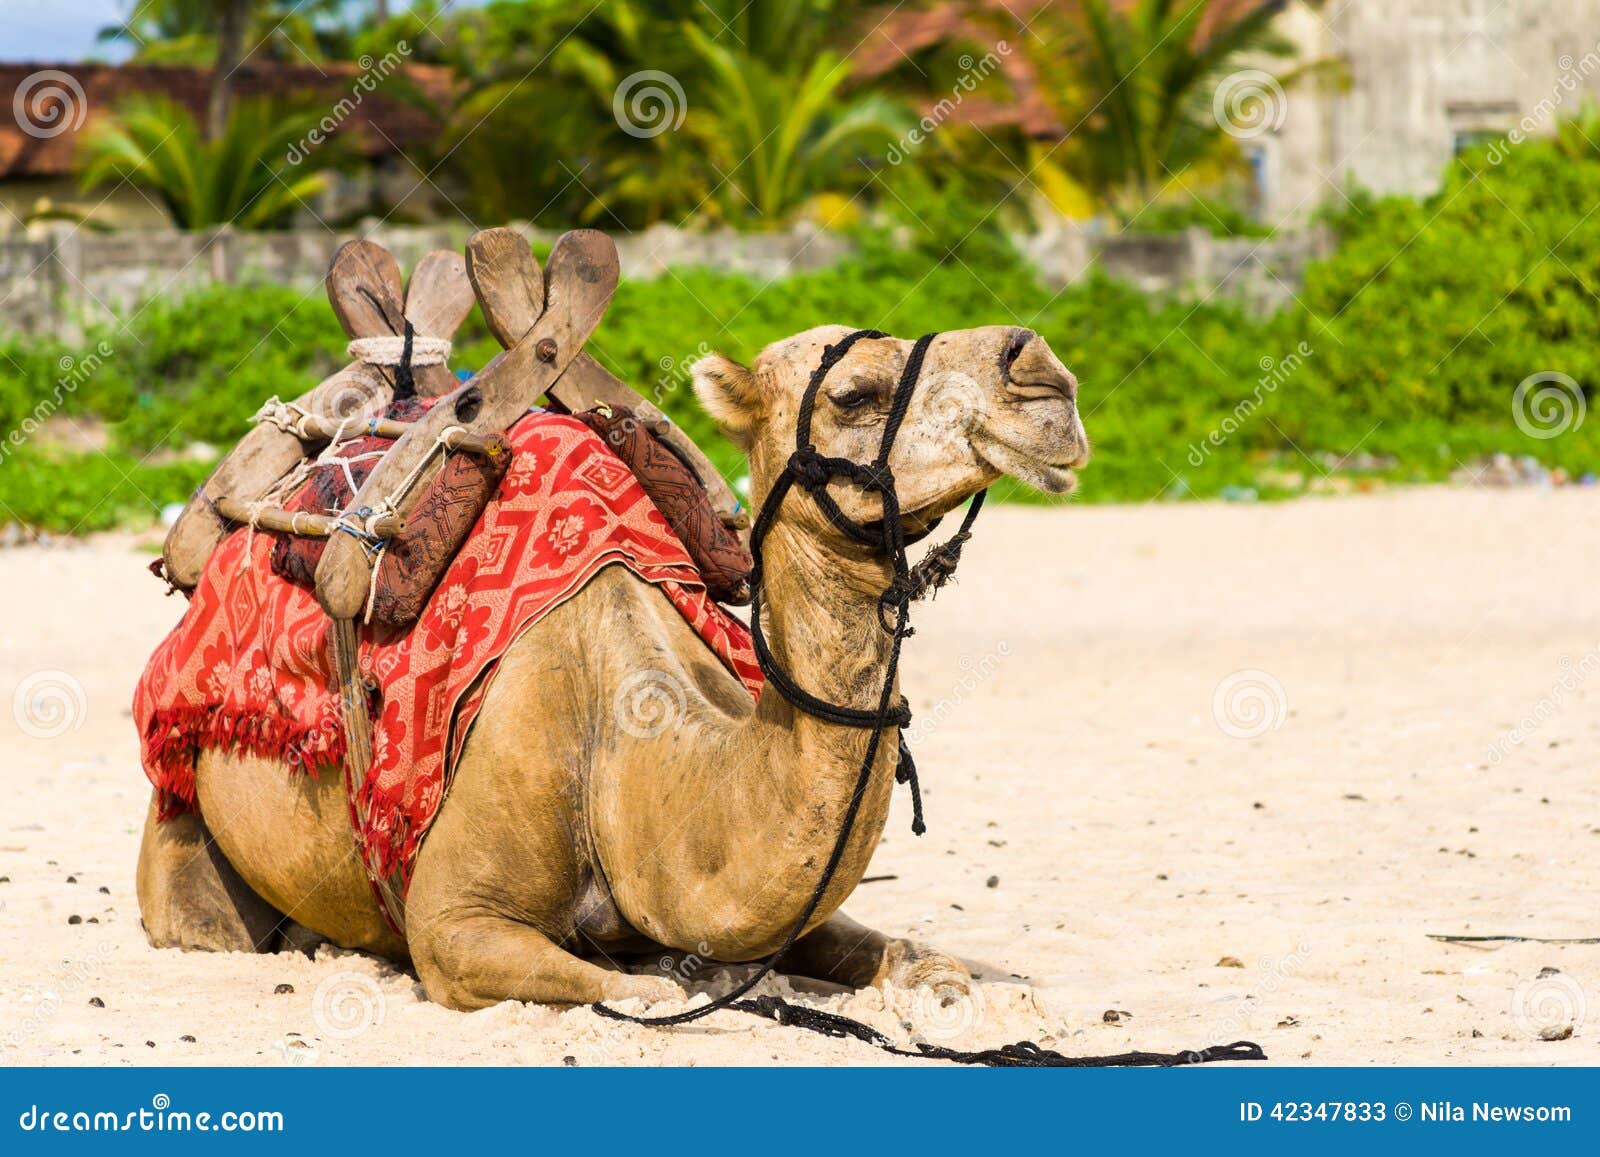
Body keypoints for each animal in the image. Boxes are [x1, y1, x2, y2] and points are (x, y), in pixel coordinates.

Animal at [136, 323, 1089, 1011]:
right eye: (855, 393)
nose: (1044, 373)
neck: (634, 763)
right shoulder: (453, 920)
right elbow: (639, 991)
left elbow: (910, 956)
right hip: (184, 836)